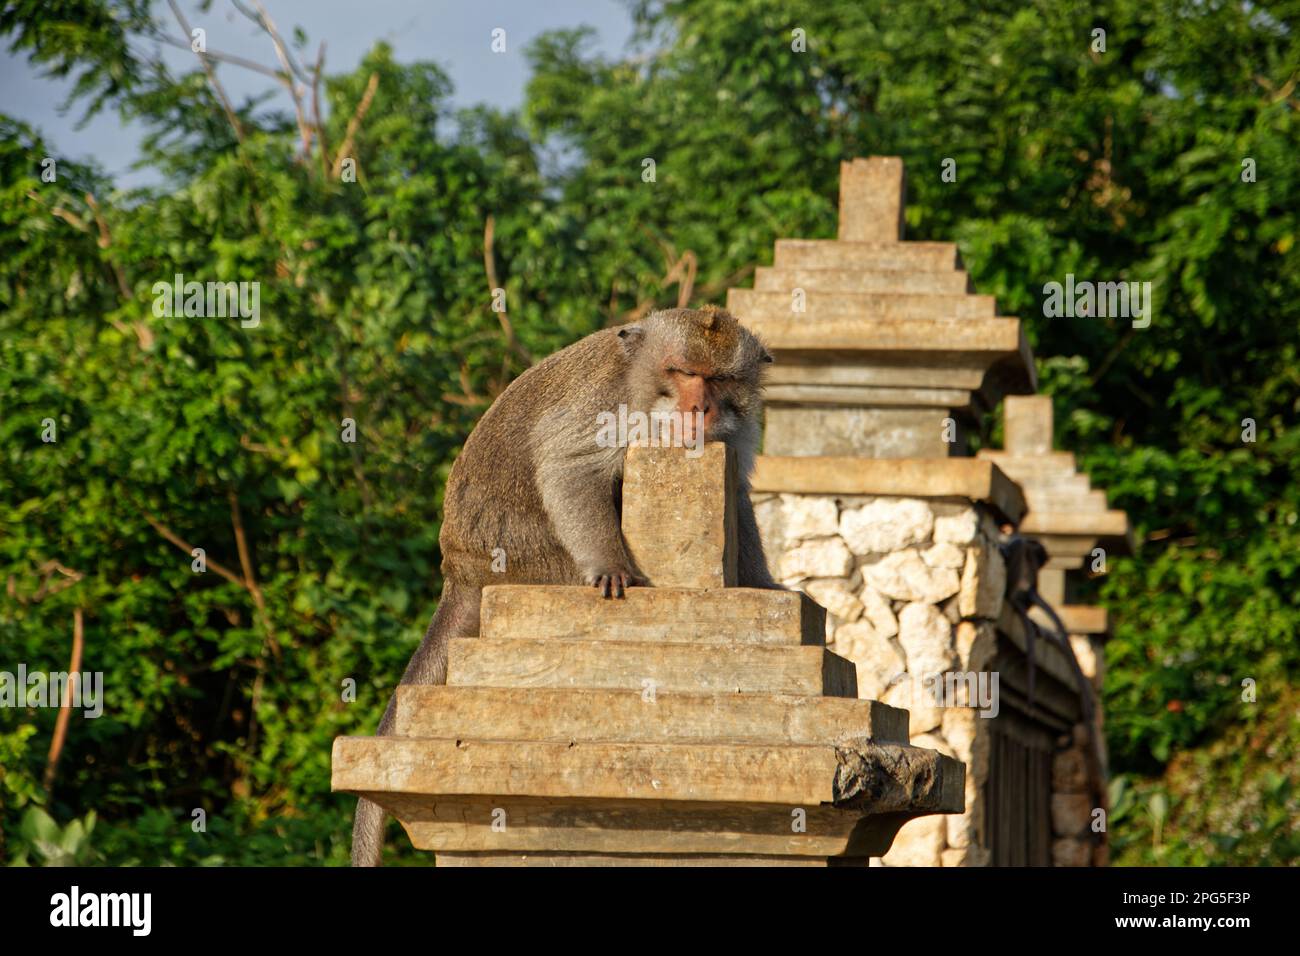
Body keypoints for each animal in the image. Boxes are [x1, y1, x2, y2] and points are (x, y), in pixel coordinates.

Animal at [350, 305, 780, 866]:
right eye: (682, 372)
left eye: (719, 380)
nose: (699, 409)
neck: (641, 380)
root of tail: (461, 571)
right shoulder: (609, 406)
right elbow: (570, 469)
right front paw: (611, 564)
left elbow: (740, 494)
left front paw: (765, 584)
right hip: (526, 556)